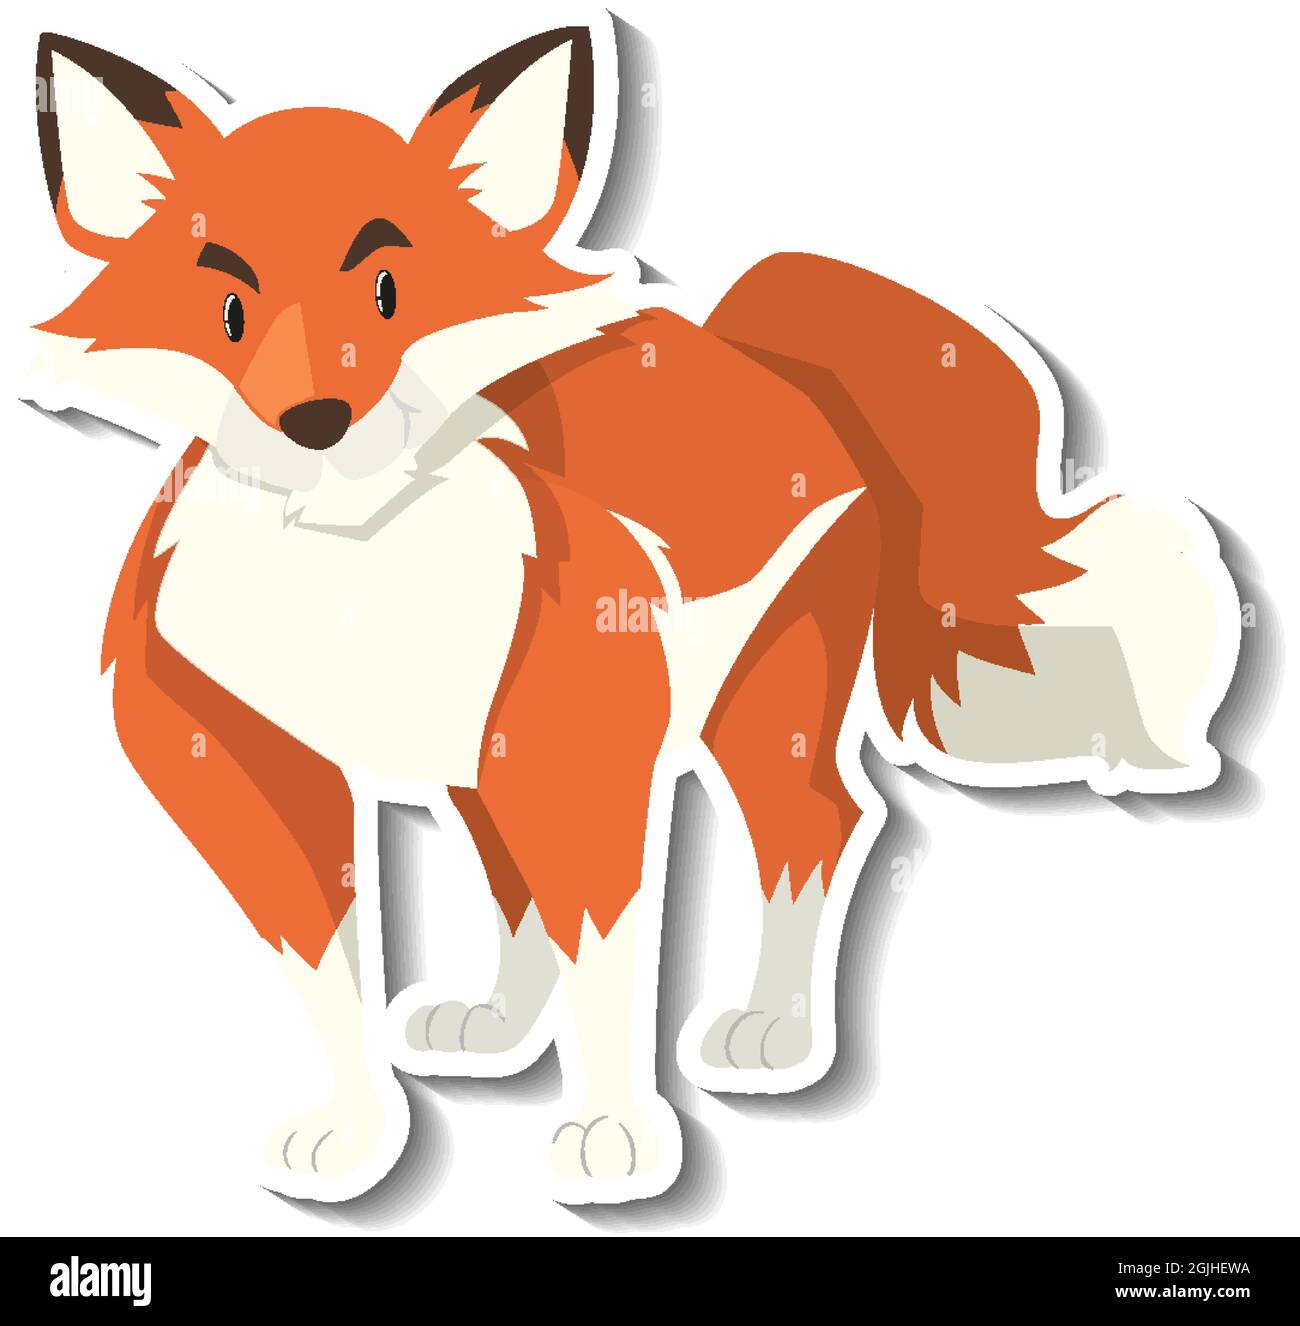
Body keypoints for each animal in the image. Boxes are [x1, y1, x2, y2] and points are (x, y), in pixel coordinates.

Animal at [27, 24, 1240, 1205]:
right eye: (227, 309)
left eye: (387, 294)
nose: (316, 417)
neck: (351, 579)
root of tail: (761, 347)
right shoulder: (249, 771)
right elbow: (329, 970)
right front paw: (357, 1135)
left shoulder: (589, 769)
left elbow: (607, 963)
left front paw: (613, 1137)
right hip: (495, 760)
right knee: (522, 884)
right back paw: (497, 1024)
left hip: (755, 701)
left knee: (820, 826)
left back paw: (773, 1027)